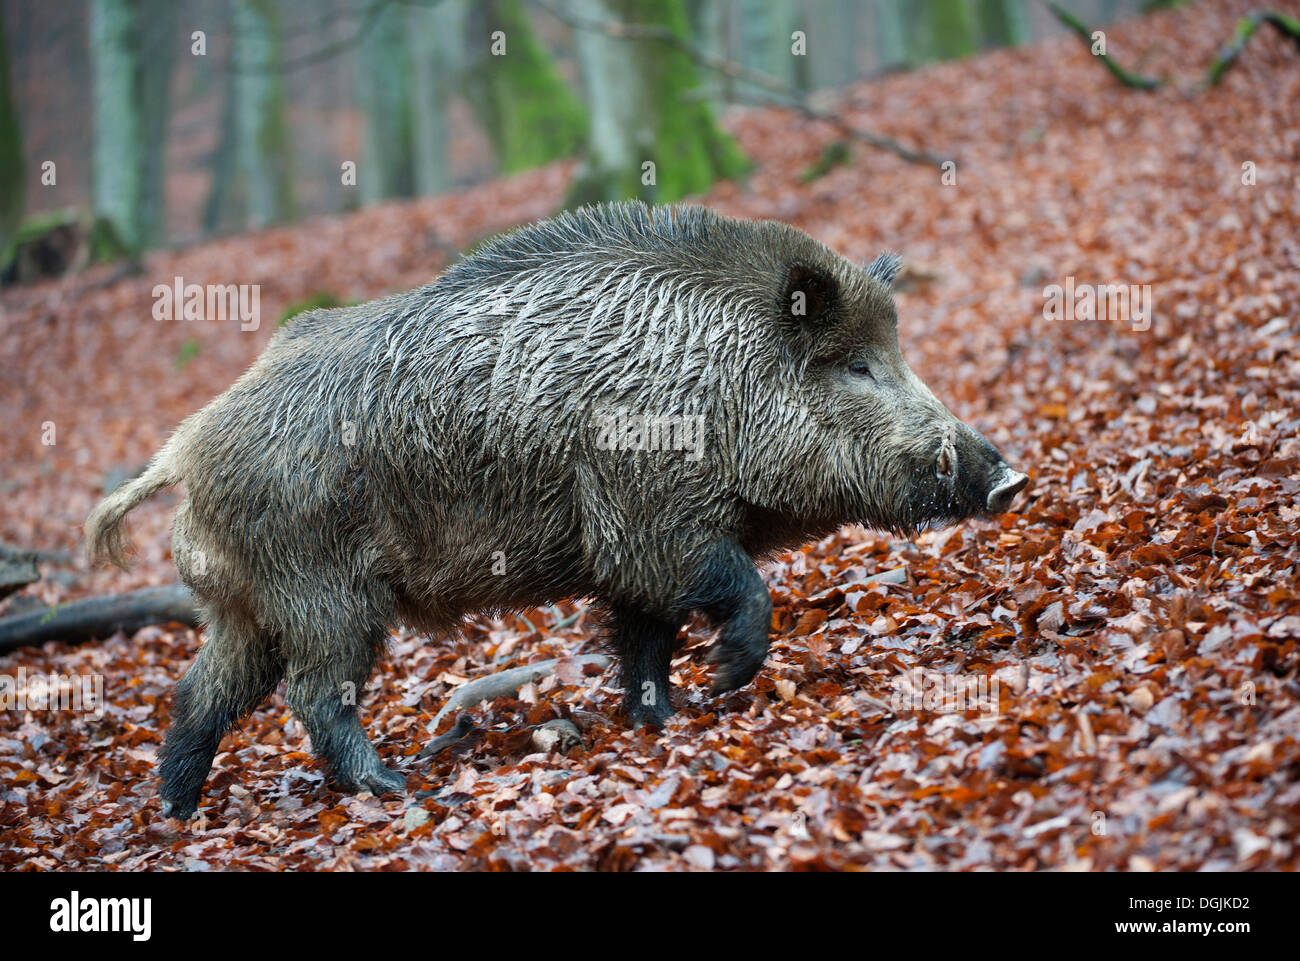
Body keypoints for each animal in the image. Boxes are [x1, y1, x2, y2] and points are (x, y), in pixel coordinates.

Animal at [85, 201, 1028, 818]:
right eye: (857, 366)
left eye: (895, 353)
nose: (1007, 478)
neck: (718, 387)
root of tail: (183, 447)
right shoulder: (651, 522)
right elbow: (735, 591)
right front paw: (726, 680)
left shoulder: (633, 558)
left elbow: (645, 639)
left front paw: (658, 721)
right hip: (324, 594)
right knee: (316, 693)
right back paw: (392, 787)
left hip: (249, 607)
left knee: (200, 693)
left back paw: (177, 809)